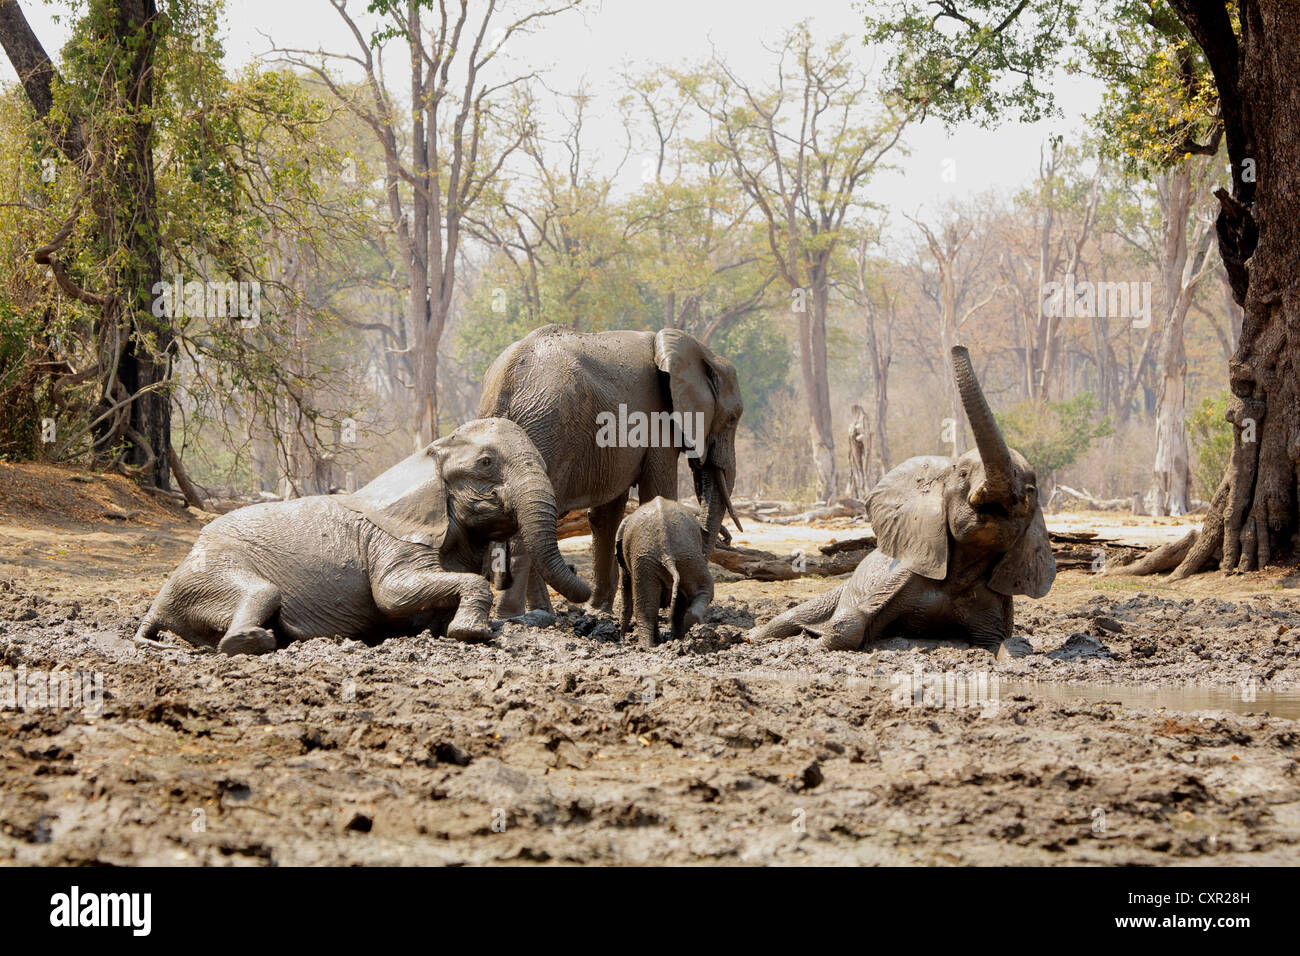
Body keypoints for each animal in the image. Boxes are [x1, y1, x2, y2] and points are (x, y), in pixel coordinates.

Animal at [133, 418, 591, 655]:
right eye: (485, 463)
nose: (576, 571)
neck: (426, 455)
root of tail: (158, 604)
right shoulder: (395, 542)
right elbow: (392, 595)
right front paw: (474, 635)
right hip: (212, 571)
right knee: (262, 593)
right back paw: (253, 642)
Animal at [479, 324, 743, 617]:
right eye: (732, 419)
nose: (728, 538)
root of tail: (506, 382)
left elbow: (606, 515)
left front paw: (598, 611)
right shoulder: (658, 422)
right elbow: (657, 492)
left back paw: (541, 613)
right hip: (549, 434)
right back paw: (516, 616)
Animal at [615, 496, 715, 647]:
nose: (621, 640)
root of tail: (666, 549)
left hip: (660, 559)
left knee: (646, 608)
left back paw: (648, 646)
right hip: (684, 557)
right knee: (704, 589)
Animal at [747, 346, 1055, 654]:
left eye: (1031, 489)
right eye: (963, 474)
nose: (959, 348)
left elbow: (1006, 643)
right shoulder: (903, 574)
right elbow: (850, 622)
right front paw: (814, 645)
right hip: (839, 589)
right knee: (789, 618)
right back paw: (751, 637)